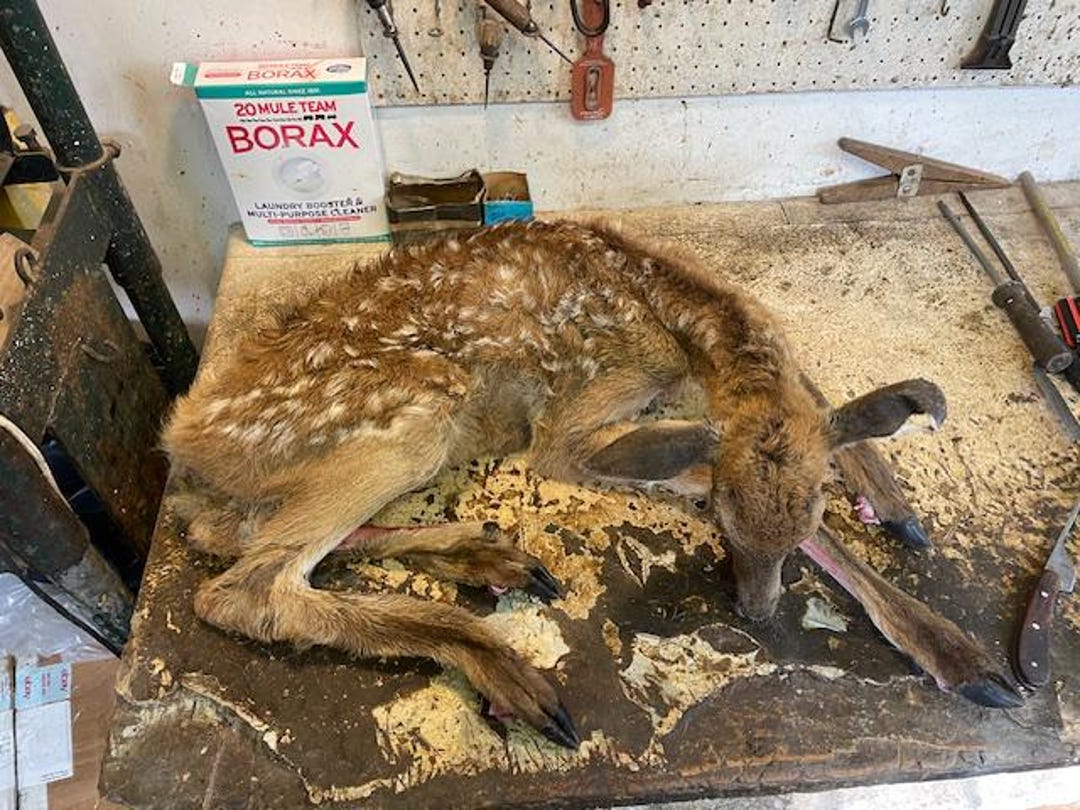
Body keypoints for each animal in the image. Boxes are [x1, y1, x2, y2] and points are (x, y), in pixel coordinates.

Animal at [163, 219, 1022, 751]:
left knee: (235, 535)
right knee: (244, 588)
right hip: (413, 414)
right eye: (724, 528)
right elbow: (690, 464)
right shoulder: (571, 430)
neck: (678, 310)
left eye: (799, 520)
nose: (756, 612)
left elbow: (819, 407)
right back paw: (505, 665)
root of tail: (185, 438)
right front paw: (961, 656)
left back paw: (490, 557)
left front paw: (905, 525)